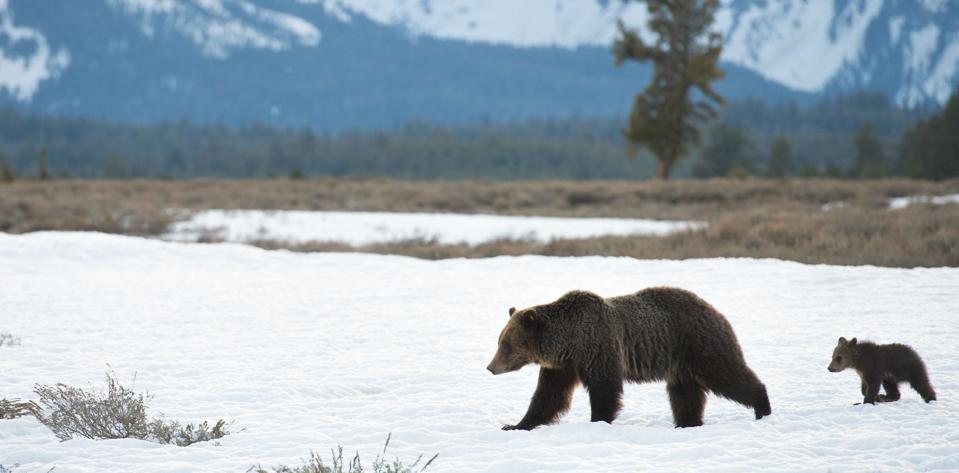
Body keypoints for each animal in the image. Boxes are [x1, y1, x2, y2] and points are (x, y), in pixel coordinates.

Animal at [486, 287, 771, 430]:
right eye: (500, 341)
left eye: (505, 345)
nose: (490, 367)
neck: (568, 342)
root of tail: (714, 309)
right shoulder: (562, 366)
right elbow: (549, 396)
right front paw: (516, 424)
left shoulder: (598, 347)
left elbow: (604, 389)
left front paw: (598, 421)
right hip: (681, 363)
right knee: (685, 394)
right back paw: (687, 423)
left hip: (699, 344)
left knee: (727, 374)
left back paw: (762, 407)